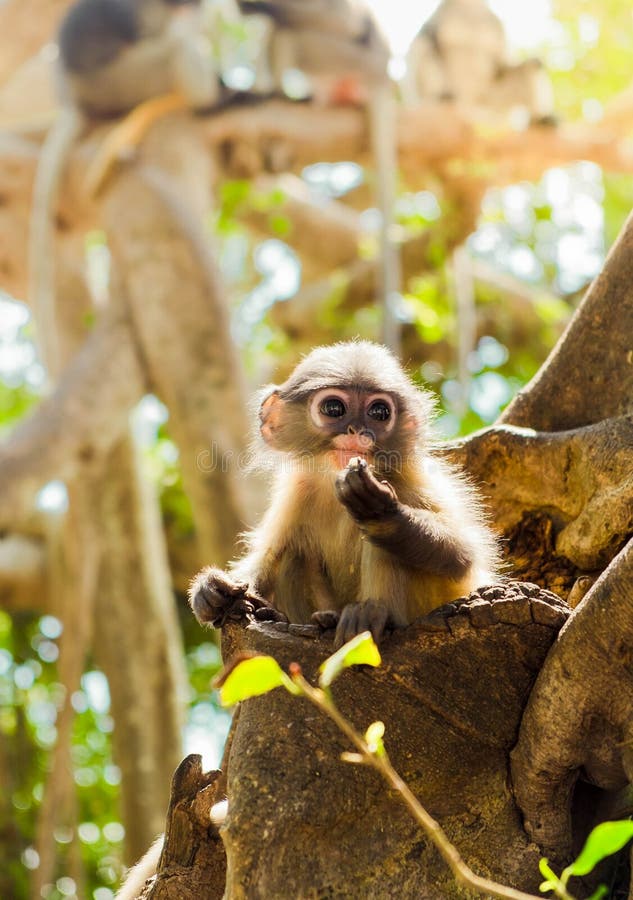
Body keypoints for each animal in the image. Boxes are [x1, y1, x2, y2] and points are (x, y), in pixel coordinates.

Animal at [189, 341, 500, 648]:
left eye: (379, 412)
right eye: (333, 407)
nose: (357, 429)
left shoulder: (416, 478)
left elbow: (463, 556)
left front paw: (381, 511)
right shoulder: (297, 491)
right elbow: (268, 558)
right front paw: (211, 592)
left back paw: (370, 614)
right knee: (294, 553)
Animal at [236, 0, 403, 352]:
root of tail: (382, 77)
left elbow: (347, 24)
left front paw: (256, 7)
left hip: (347, 62)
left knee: (290, 32)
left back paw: (276, 92)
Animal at [402, 0, 555, 126]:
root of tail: (468, 104)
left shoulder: (497, 23)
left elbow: (500, 66)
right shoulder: (438, 16)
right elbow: (430, 42)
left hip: (490, 102)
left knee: (532, 65)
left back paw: (539, 120)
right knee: (423, 44)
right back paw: (437, 100)